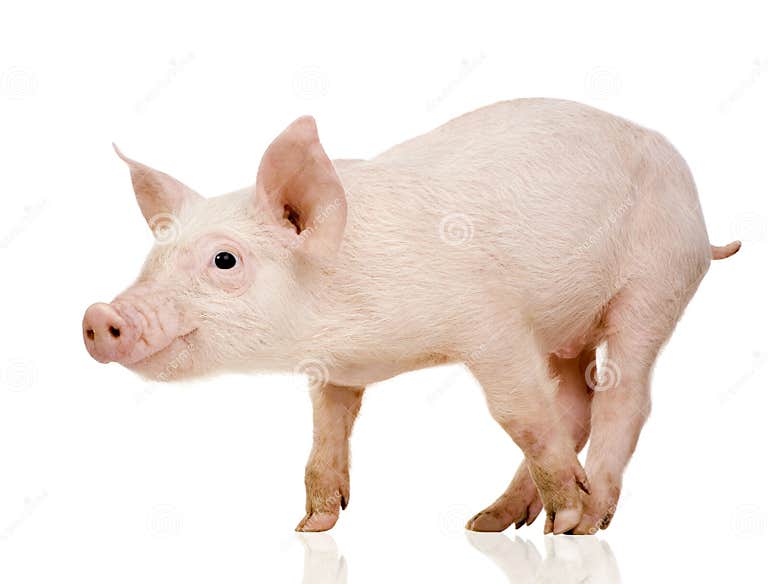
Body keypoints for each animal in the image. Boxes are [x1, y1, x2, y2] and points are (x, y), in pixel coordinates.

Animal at [82, 98, 741, 535]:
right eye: (152, 257)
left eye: (225, 259)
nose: (98, 315)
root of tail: (701, 219)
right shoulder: (337, 369)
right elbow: (327, 428)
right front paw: (313, 525)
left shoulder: (492, 323)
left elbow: (521, 414)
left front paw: (568, 515)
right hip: (565, 327)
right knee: (576, 402)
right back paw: (491, 521)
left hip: (656, 284)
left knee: (625, 395)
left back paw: (578, 523)